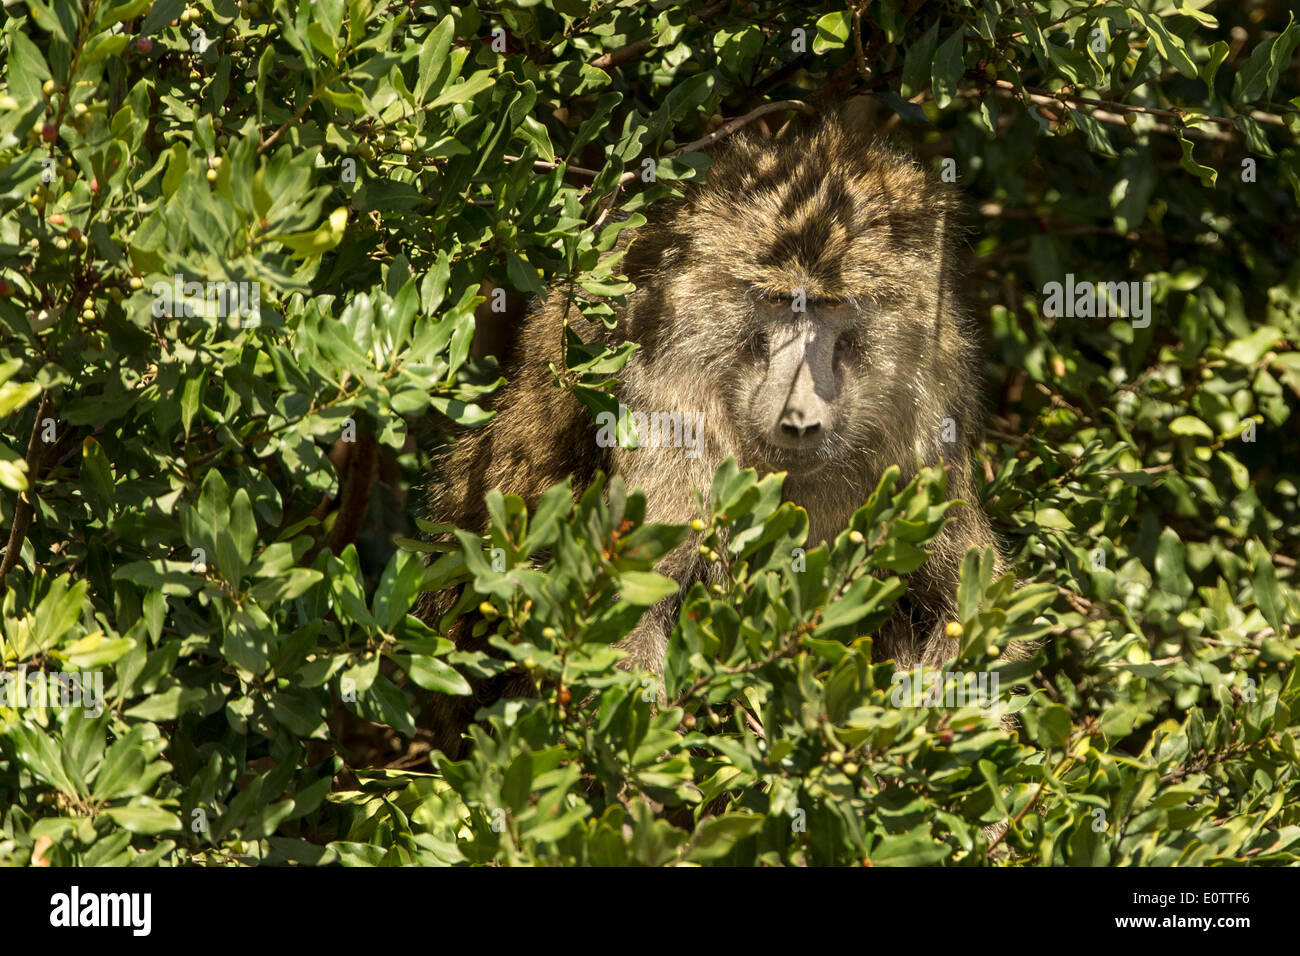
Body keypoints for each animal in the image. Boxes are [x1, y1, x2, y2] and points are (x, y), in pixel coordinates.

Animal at [418, 113, 1004, 759]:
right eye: (778, 301)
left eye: (833, 305)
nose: (800, 415)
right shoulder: (665, 407)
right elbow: (618, 611)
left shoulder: (920, 436)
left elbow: (967, 609)